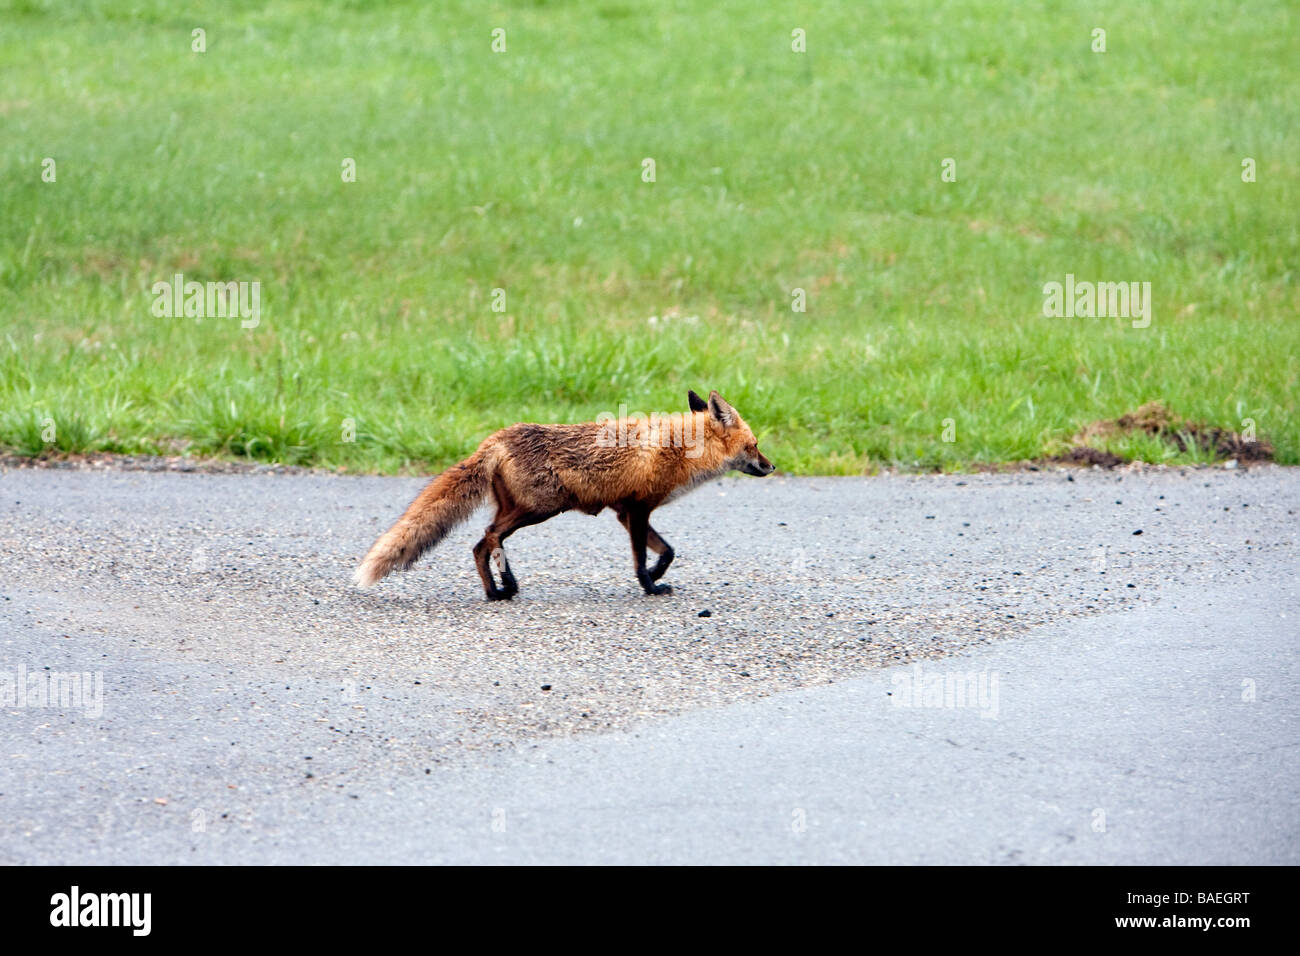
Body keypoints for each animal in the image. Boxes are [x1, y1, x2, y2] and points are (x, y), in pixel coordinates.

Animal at [353, 389, 775, 600]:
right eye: (754, 446)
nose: (772, 466)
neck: (676, 450)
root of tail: (495, 438)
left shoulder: (627, 513)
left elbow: (667, 551)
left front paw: (657, 575)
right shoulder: (637, 509)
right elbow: (642, 559)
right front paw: (650, 585)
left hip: (520, 510)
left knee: (479, 544)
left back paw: (496, 590)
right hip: (538, 509)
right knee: (488, 537)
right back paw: (505, 587)